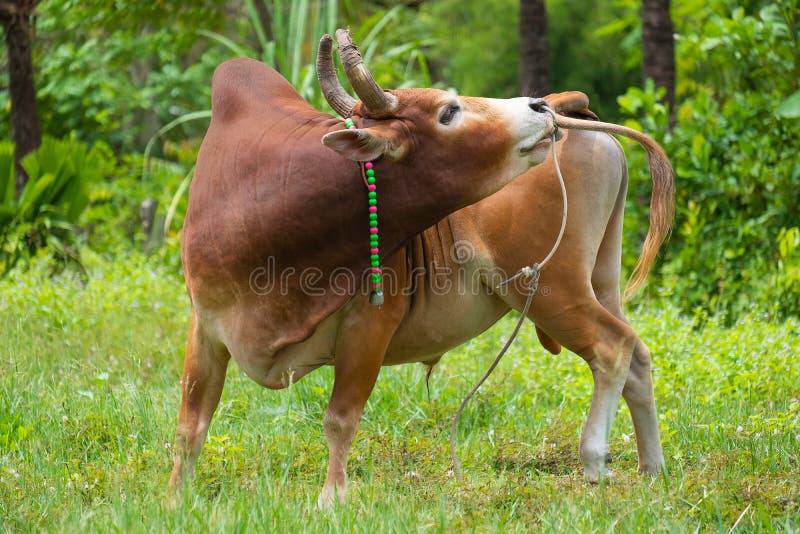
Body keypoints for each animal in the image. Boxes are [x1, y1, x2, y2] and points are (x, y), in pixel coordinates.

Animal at [169, 30, 561, 505]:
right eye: (448, 111)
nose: (540, 105)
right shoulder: (205, 324)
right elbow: (191, 426)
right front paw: (174, 499)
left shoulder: (369, 325)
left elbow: (340, 419)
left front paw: (331, 499)